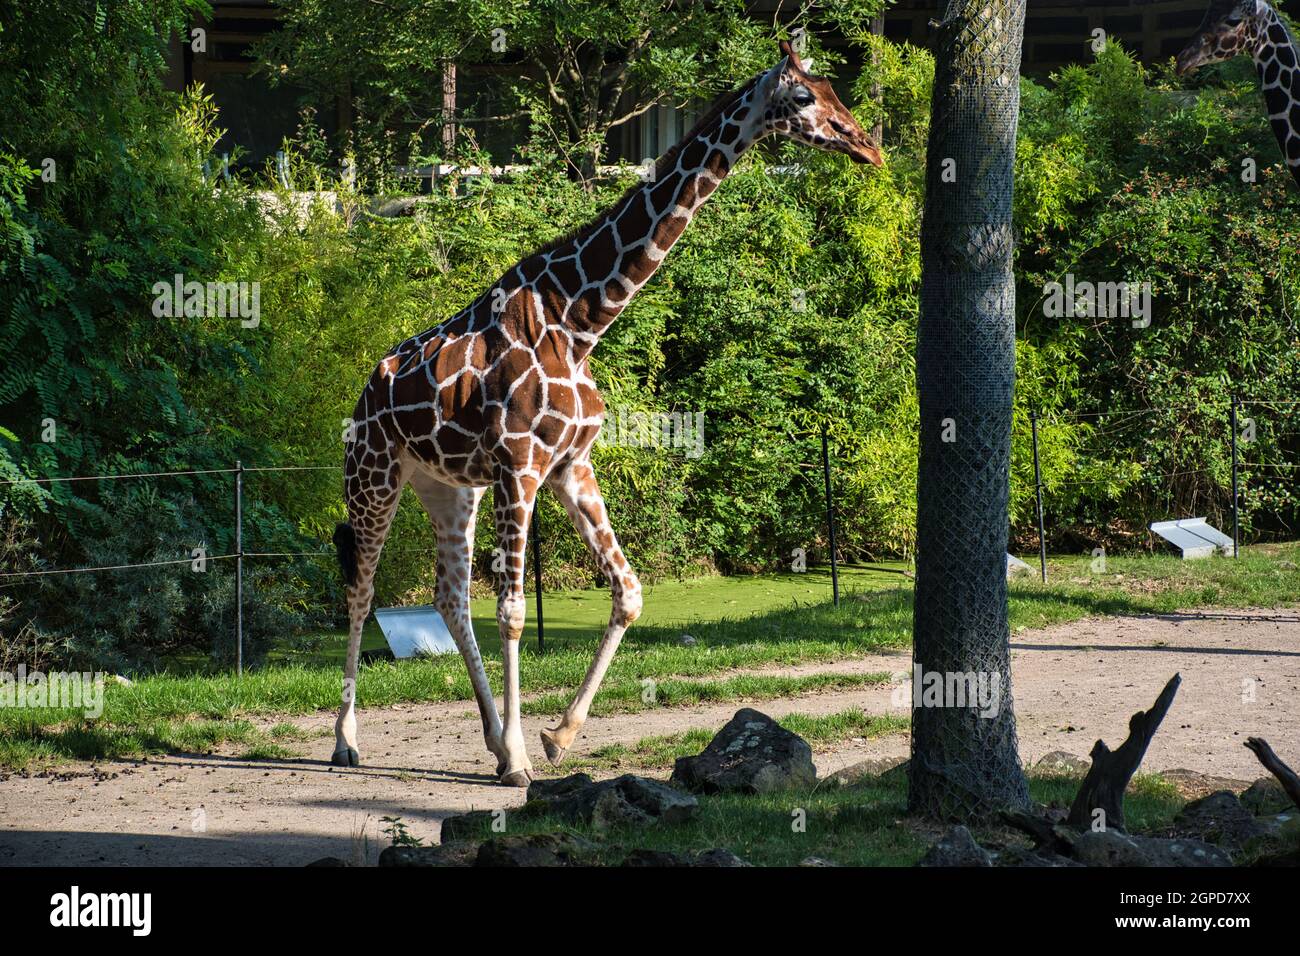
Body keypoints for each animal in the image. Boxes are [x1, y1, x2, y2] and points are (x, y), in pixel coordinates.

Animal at [330, 40, 882, 787]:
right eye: (803, 99)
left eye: (833, 88)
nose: (867, 146)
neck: (583, 319)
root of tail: (365, 389)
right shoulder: (519, 466)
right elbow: (513, 611)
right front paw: (522, 762)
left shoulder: (570, 465)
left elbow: (629, 591)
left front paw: (554, 737)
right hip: (374, 474)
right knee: (361, 592)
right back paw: (348, 741)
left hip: (446, 487)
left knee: (449, 596)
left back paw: (490, 738)